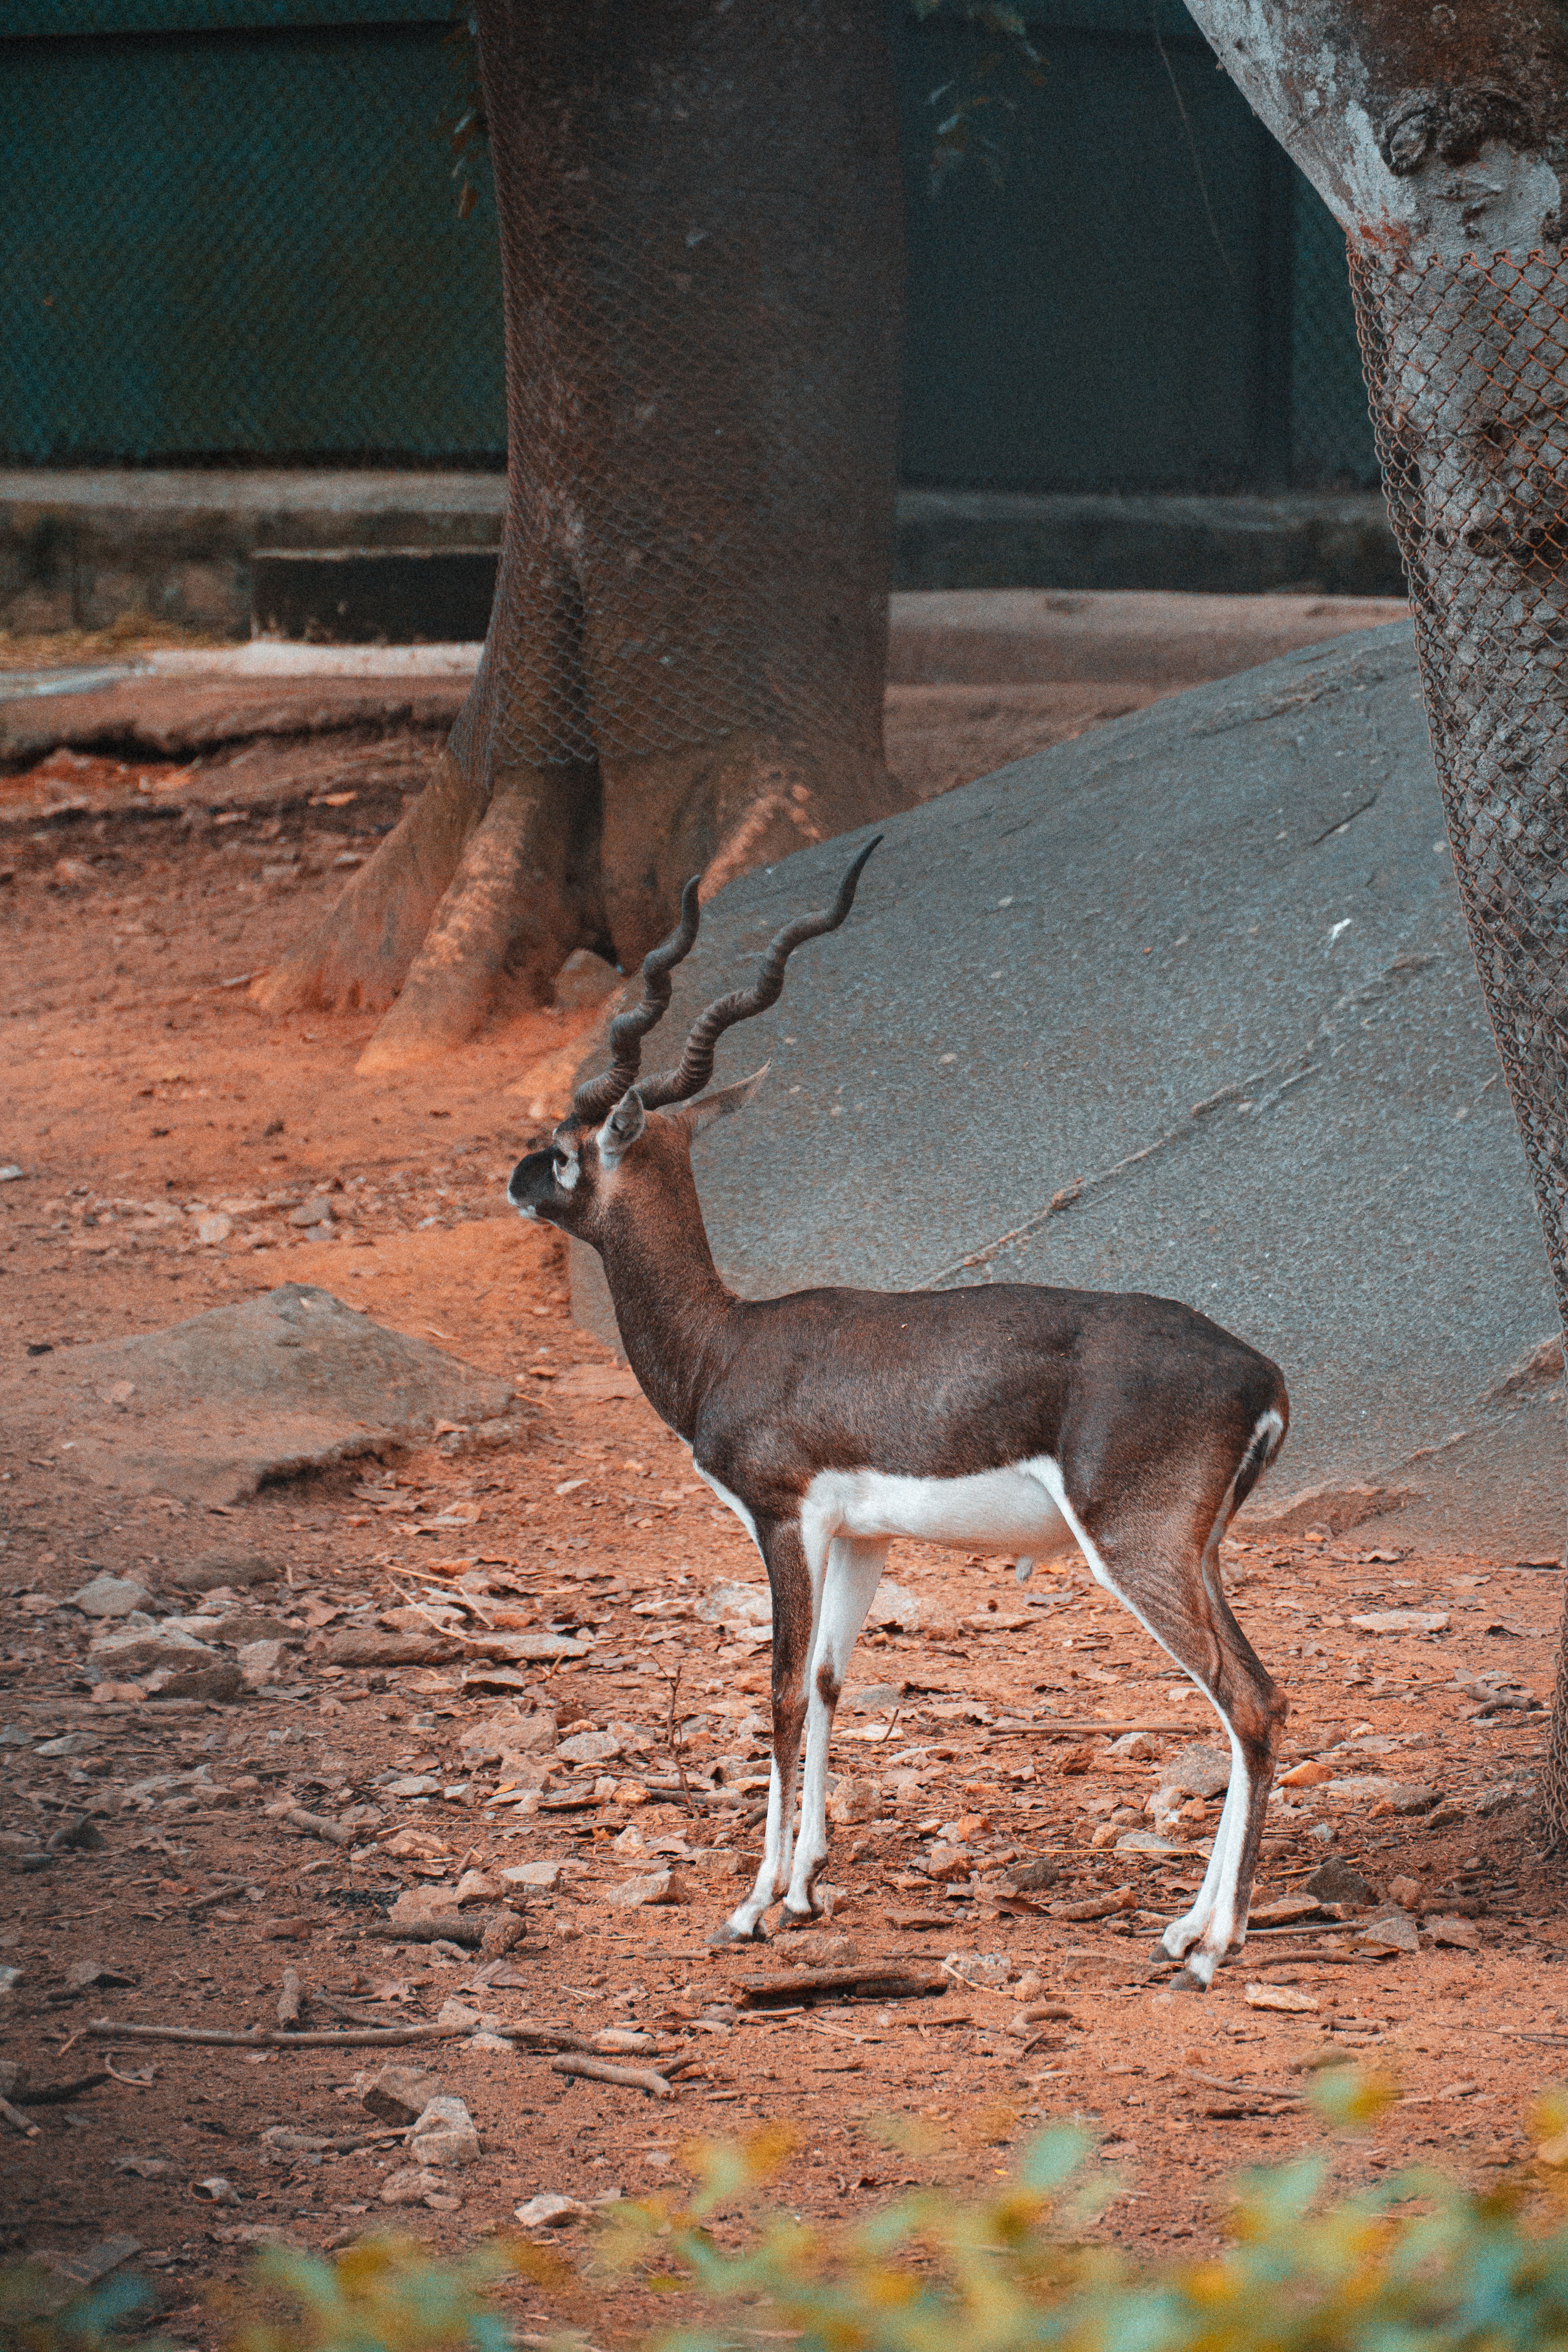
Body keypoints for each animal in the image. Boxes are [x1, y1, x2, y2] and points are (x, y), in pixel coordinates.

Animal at [508, 840, 1290, 1986]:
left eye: (570, 1149)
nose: (517, 1179)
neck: (728, 1342)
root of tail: (1261, 1373)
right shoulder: (863, 1536)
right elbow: (834, 1680)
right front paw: (806, 1885)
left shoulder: (783, 1518)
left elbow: (782, 1691)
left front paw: (752, 1906)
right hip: (1198, 1553)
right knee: (1250, 1699)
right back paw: (1188, 1929)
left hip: (1136, 1550)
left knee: (1246, 1701)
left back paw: (1212, 1946)